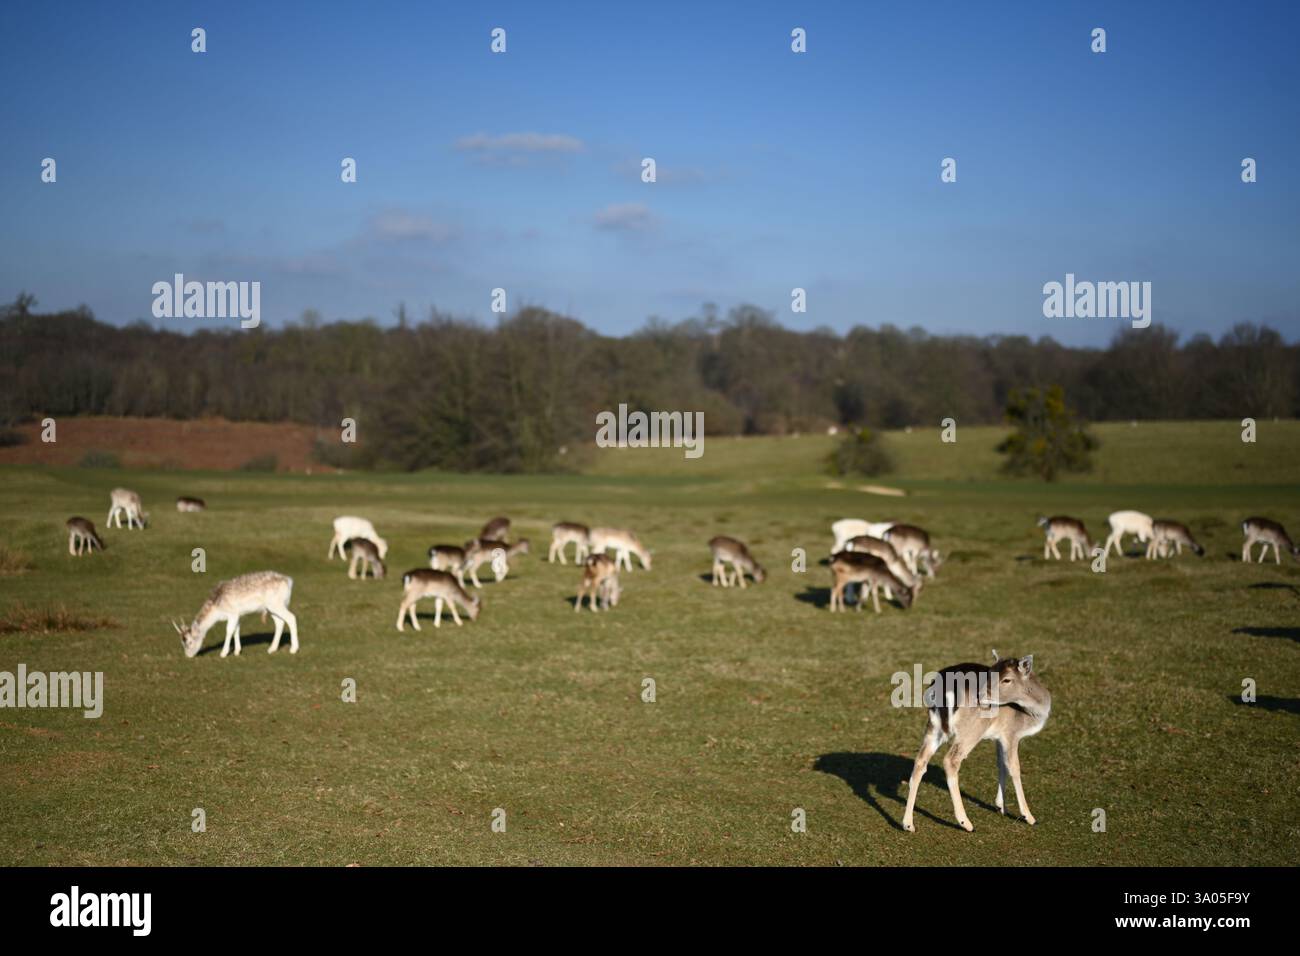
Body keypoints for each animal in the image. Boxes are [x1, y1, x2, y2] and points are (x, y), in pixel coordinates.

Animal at [902, 652, 1051, 833]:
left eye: (1006, 679)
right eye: (990, 674)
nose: (981, 695)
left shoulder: (998, 736)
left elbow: (1001, 764)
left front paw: (1001, 807)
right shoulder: (1011, 734)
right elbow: (1014, 767)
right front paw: (1029, 817)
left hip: (933, 727)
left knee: (920, 760)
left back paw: (908, 824)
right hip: (971, 730)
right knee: (950, 760)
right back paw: (965, 823)